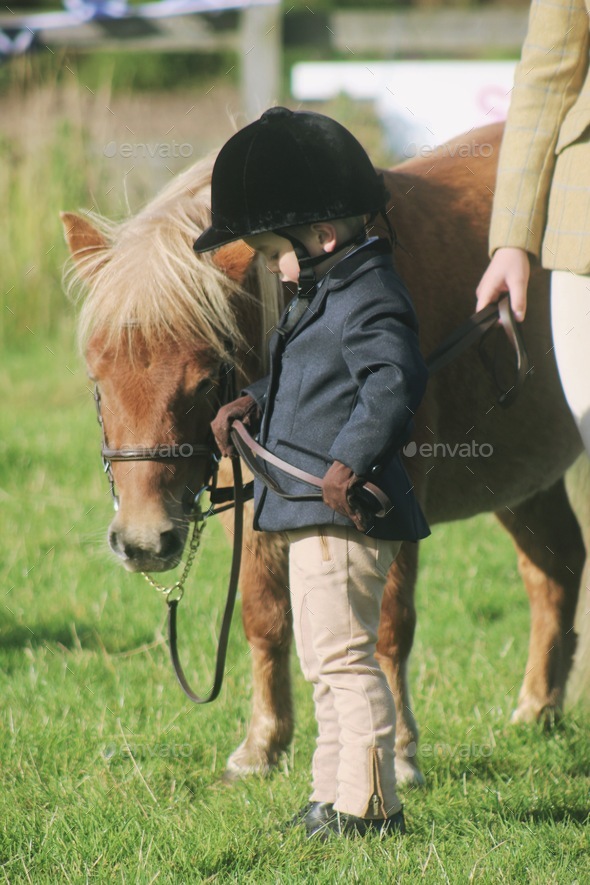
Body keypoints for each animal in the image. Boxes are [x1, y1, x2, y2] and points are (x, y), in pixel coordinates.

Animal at [62, 122, 589, 786]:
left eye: (205, 381)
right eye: (96, 379)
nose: (142, 541)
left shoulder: (390, 502)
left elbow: (387, 627)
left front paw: (400, 754)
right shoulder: (250, 510)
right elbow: (265, 618)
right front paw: (262, 745)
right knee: (554, 568)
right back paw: (537, 709)